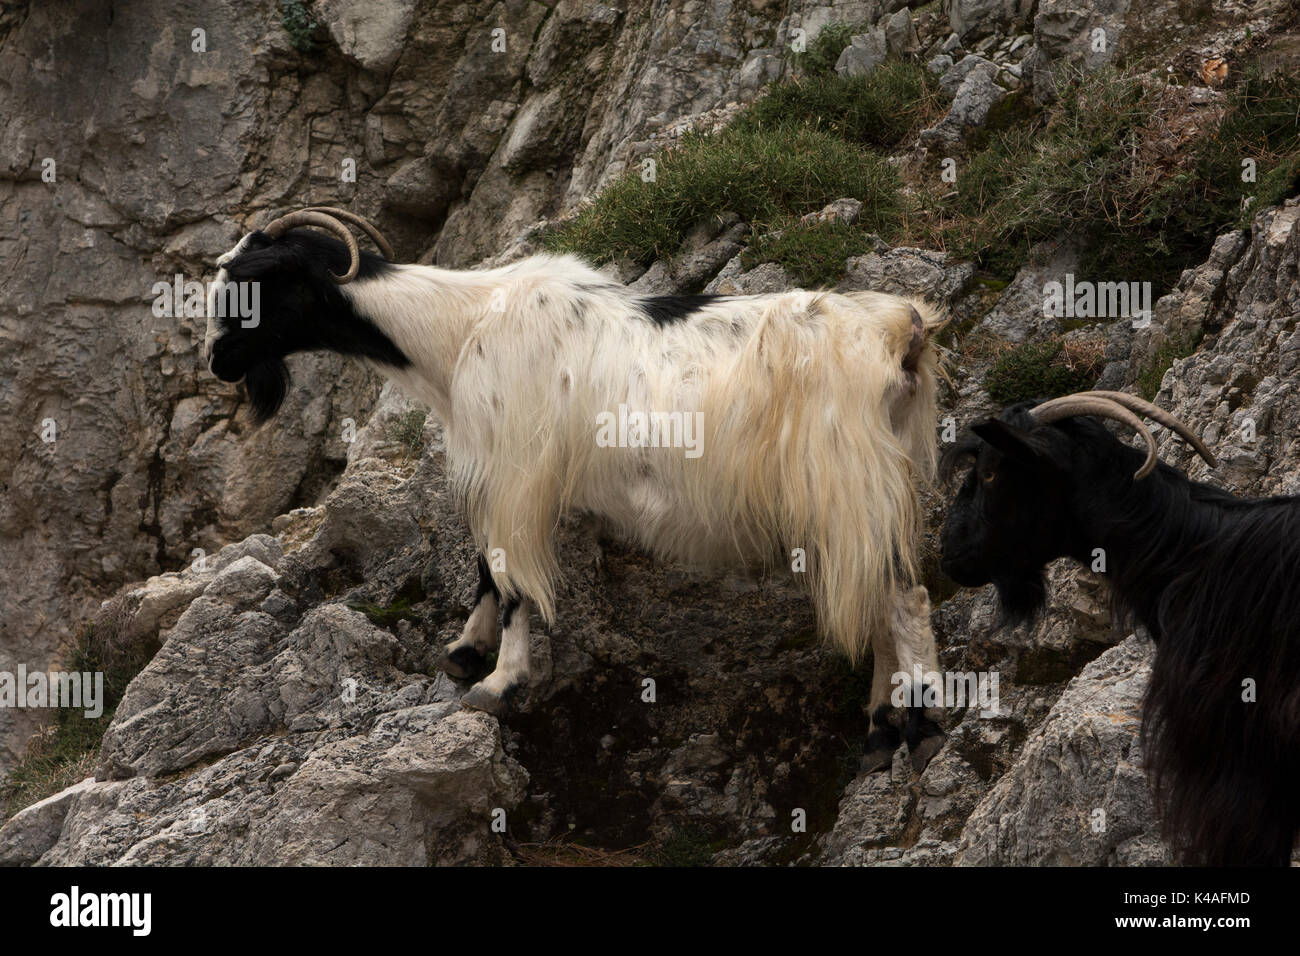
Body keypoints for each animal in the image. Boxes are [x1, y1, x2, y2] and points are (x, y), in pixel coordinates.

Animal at [203, 207, 947, 771]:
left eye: (256, 281)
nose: (217, 362)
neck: (458, 329)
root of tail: (902, 331)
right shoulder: (497, 474)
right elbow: (485, 566)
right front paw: (464, 652)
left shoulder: (516, 476)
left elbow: (512, 581)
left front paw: (499, 682)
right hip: (878, 485)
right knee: (882, 598)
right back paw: (879, 730)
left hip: (847, 483)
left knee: (903, 598)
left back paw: (917, 725)